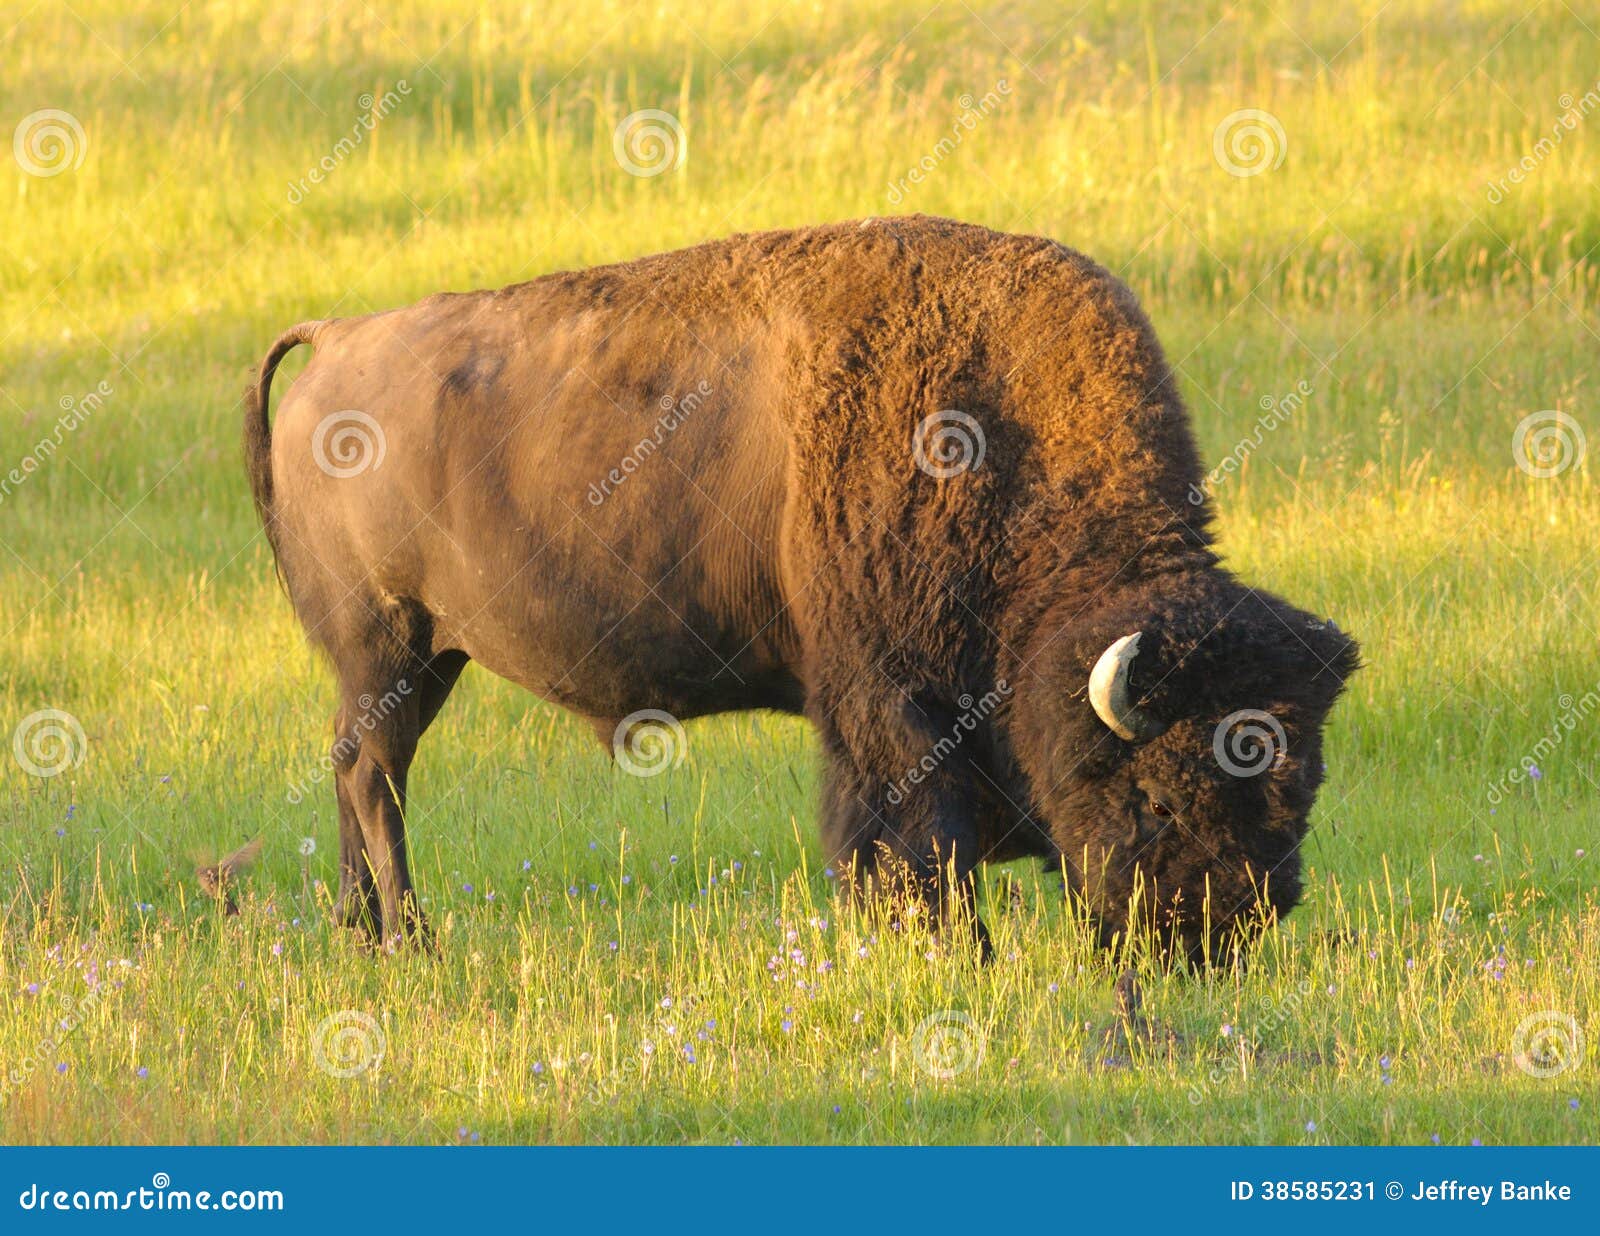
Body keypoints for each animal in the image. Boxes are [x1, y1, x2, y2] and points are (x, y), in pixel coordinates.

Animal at [245, 215, 1358, 963]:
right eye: (1161, 791)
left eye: (1301, 785)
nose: (1222, 929)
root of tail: (337, 340)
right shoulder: (889, 706)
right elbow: (919, 841)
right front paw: (955, 952)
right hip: (387, 644)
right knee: (374, 776)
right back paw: (410, 939)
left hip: (423, 659)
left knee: (357, 765)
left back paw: (358, 931)